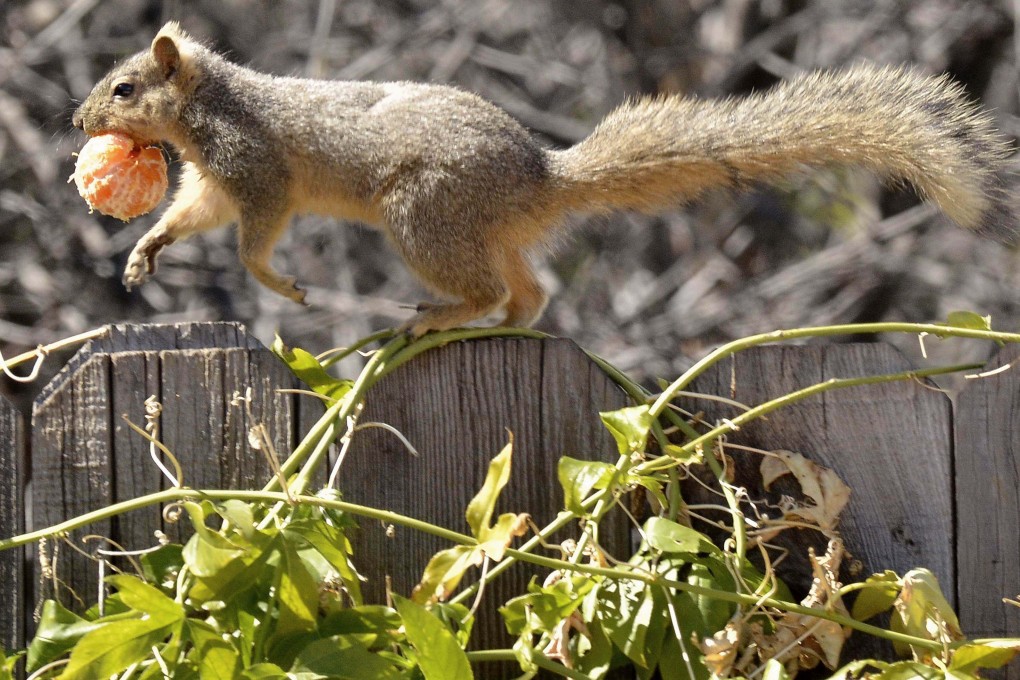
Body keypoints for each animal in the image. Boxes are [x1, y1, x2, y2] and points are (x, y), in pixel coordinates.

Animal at [73, 21, 1014, 336]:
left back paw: (440, 316)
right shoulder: (214, 182)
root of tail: (541, 179)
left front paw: (281, 284)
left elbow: (252, 238)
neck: (212, 99)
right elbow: (193, 215)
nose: (81, 124)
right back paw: (500, 324)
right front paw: (145, 252)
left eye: (124, 89)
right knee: (529, 292)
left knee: (490, 288)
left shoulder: (254, 168)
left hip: (423, 217)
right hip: (482, 232)